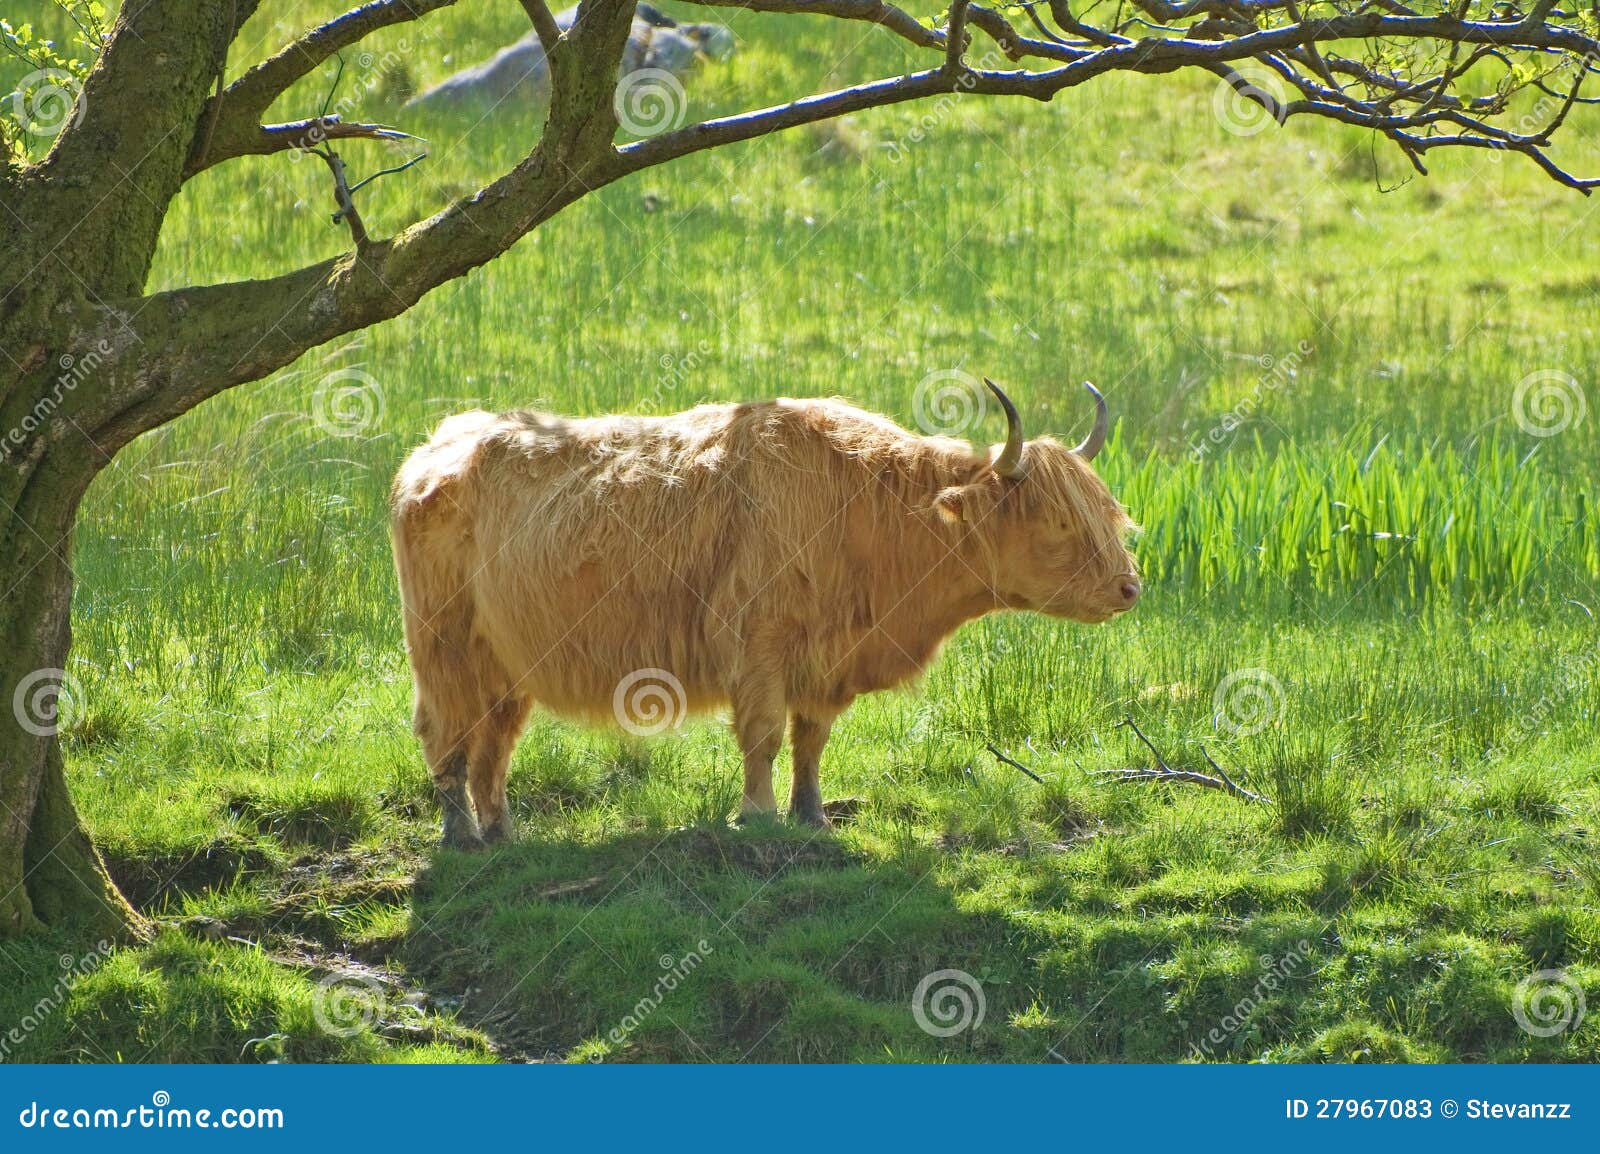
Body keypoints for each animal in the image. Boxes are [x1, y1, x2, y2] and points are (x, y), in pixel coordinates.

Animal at [391, 381, 1139, 849]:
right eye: (1059, 521)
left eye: (1106, 513)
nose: (1130, 587)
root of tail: (434, 447)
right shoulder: (760, 643)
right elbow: (765, 737)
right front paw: (758, 816)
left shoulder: (826, 658)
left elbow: (811, 741)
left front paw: (813, 819)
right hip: (443, 644)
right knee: (445, 734)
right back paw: (461, 834)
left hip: (505, 660)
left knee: (493, 745)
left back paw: (503, 834)